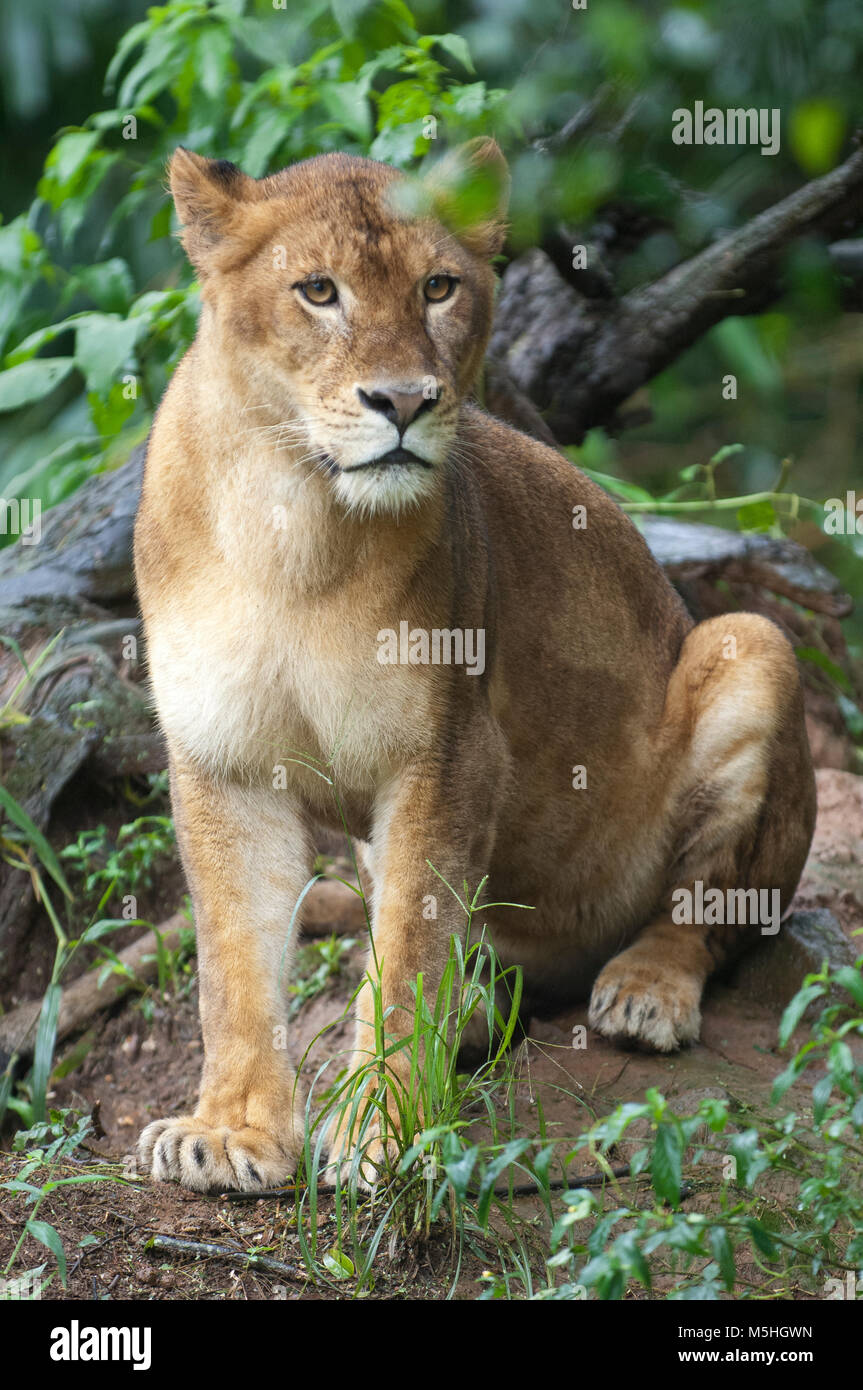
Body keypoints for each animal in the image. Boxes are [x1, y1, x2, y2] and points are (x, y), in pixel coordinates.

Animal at [134, 139, 816, 1192]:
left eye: (438, 287)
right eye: (318, 291)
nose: (403, 402)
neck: (292, 519)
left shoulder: (449, 752)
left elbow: (405, 953)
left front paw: (380, 1130)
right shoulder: (225, 763)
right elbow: (233, 972)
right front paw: (231, 1133)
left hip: (748, 642)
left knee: (712, 911)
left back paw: (641, 993)